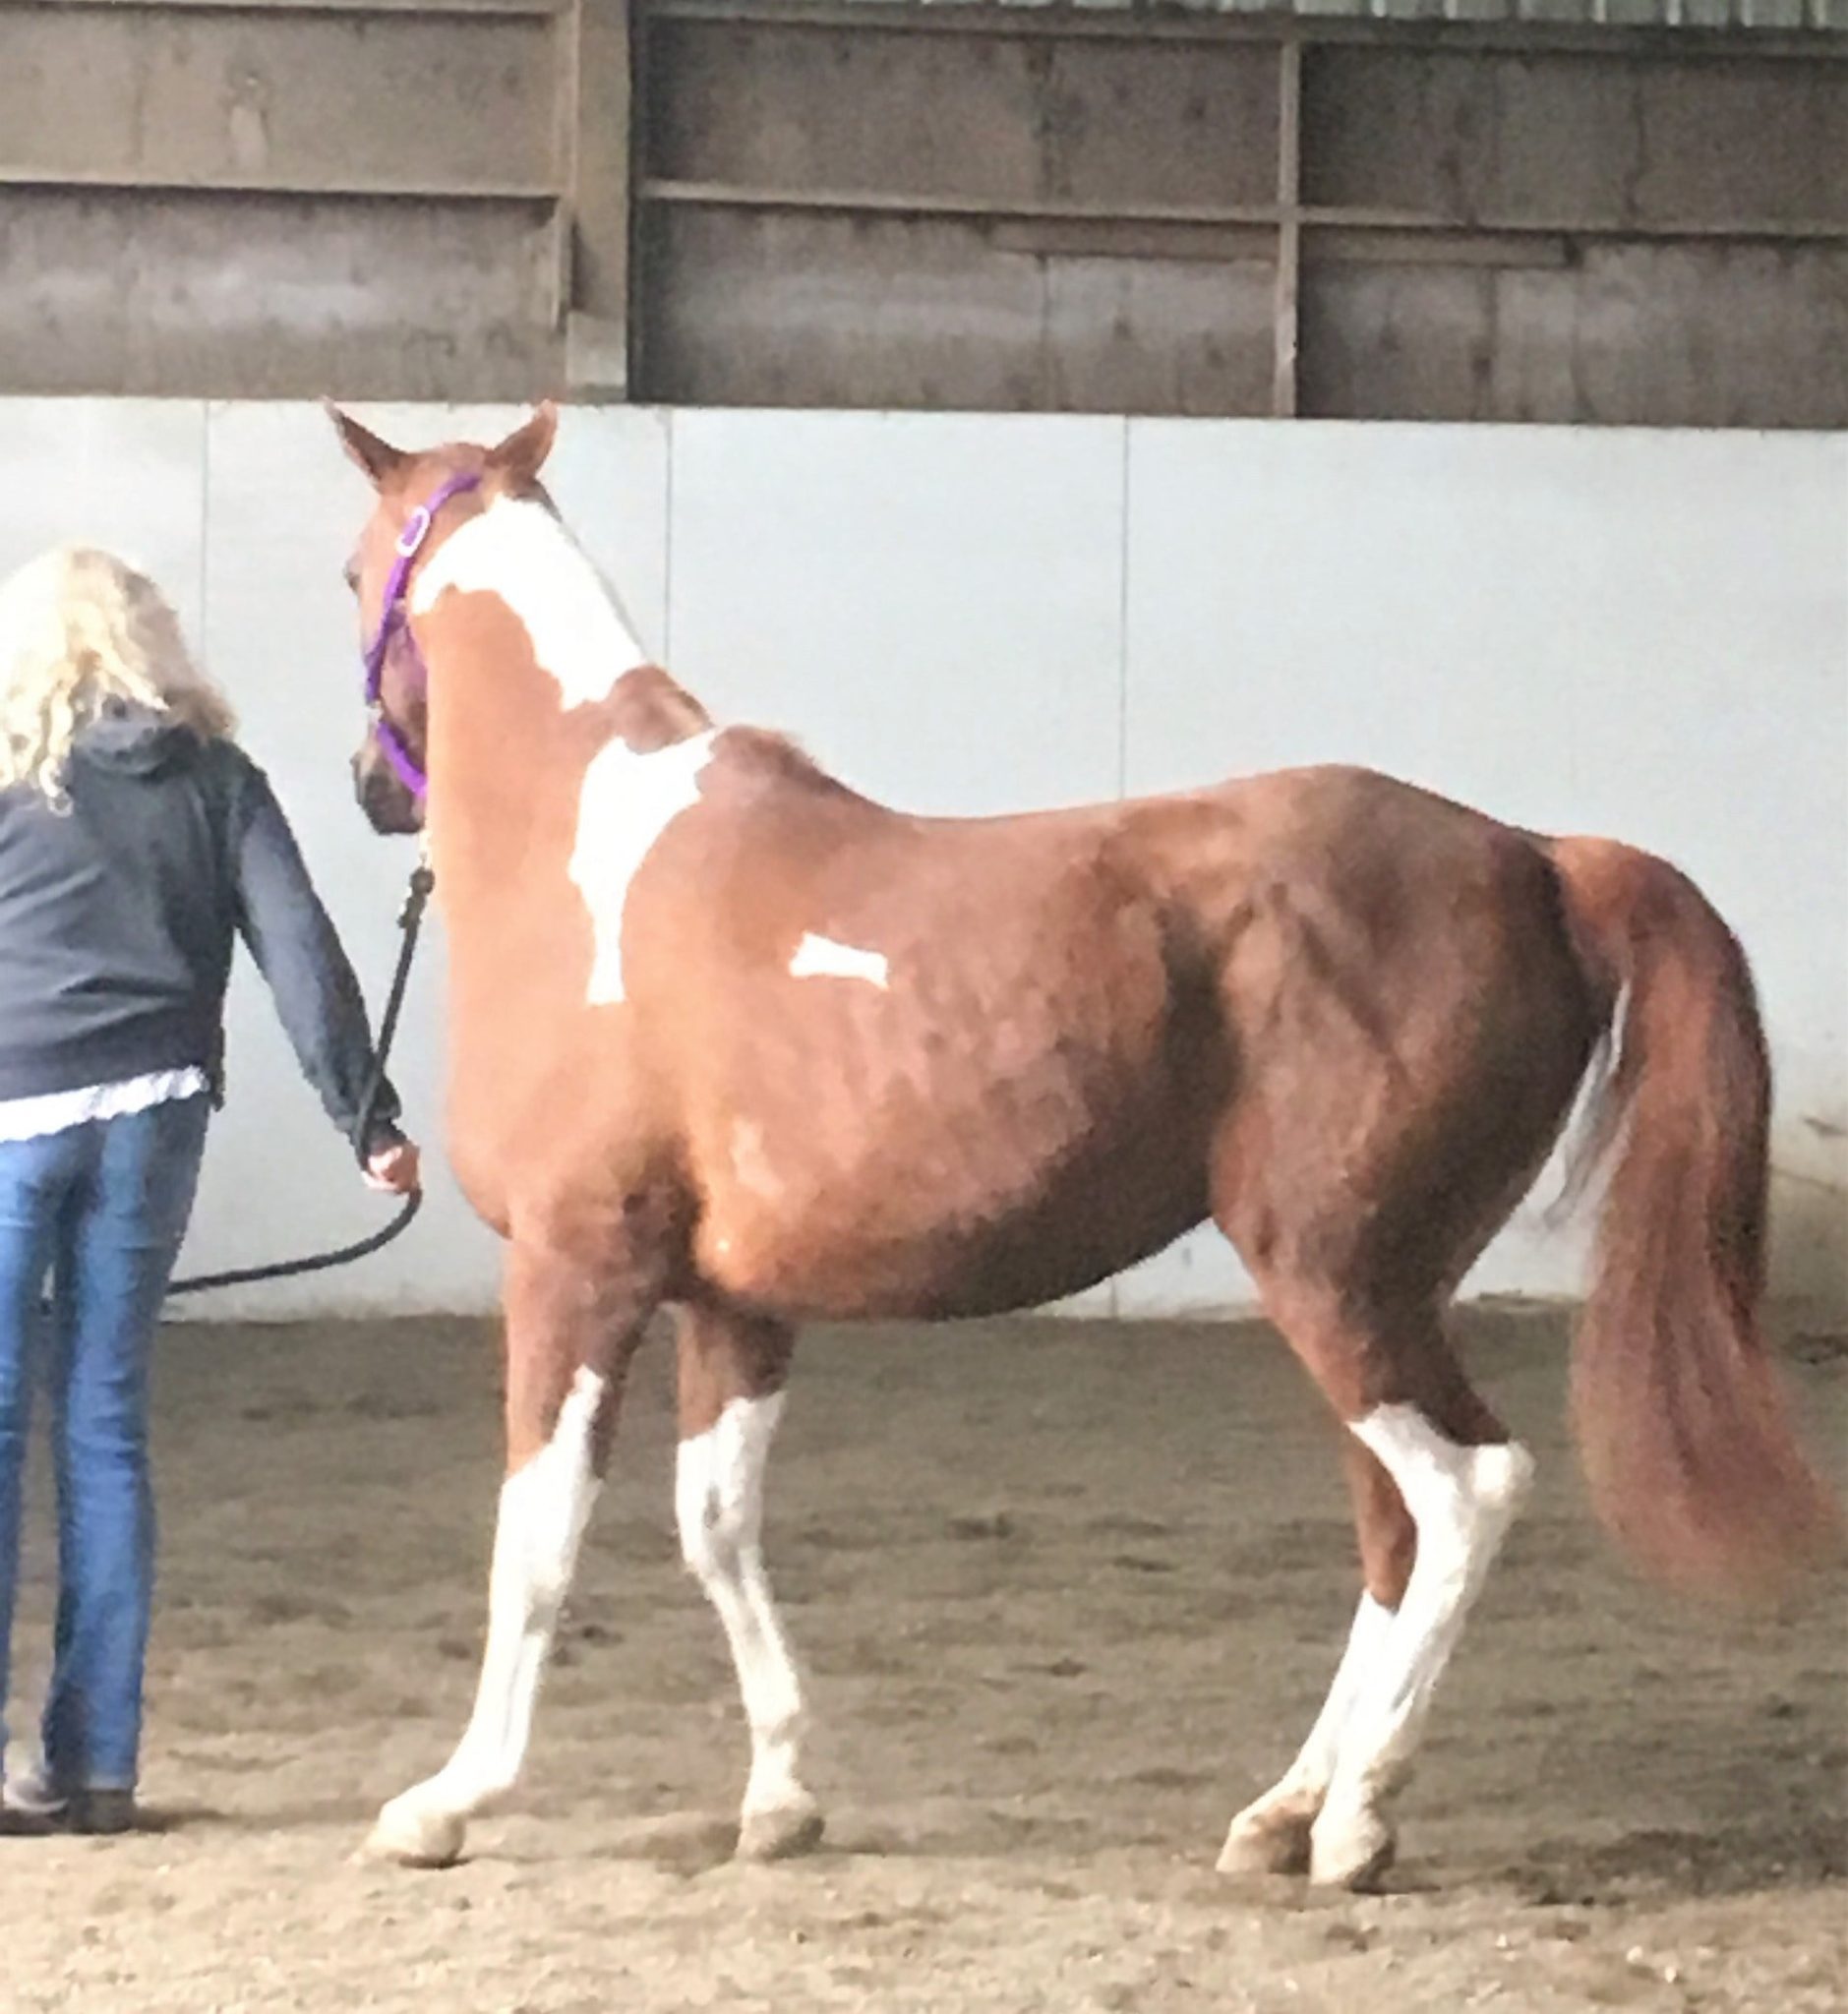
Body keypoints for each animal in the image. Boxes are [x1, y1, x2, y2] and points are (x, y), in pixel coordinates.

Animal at [326, 400, 1838, 1889]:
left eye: (350, 576)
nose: (364, 788)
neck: (591, 854)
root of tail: (1535, 857)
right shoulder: (736, 1303)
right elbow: (716, 1524)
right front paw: (780, 1794)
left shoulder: (577, 1272)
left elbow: (536, 1540)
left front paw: (450, 1799)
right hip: (1390, 1292)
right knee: (1394, 1530)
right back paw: (1284, 1809)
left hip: (1337, 1279)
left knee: (1467, 1491)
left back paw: (1354, 1818)